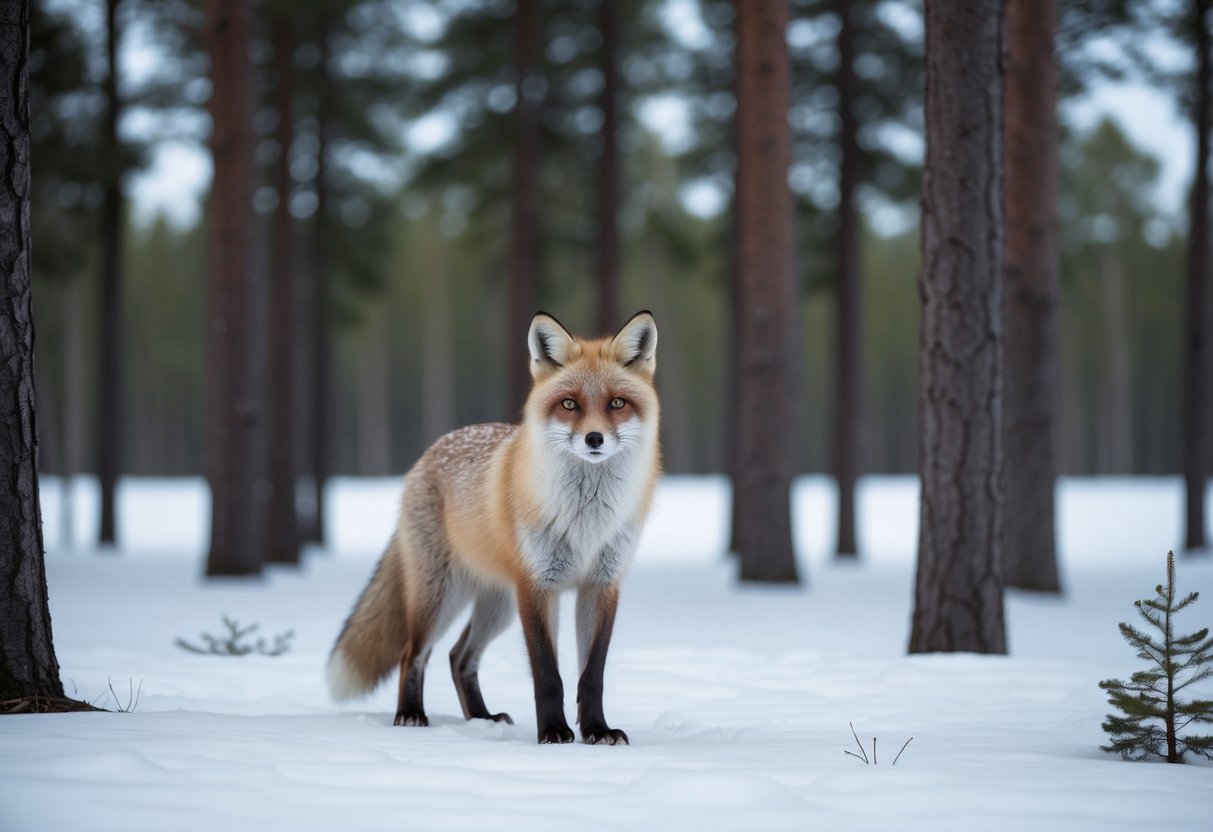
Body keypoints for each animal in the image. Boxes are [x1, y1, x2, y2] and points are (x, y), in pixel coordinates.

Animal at [327, 310, 661, 745]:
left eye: (617, 403)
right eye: (569, 404)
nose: (594, 439)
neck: (586, 520)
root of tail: (431, 451)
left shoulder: (601, 586)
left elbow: (592, 676)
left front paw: (596, 731)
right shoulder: (536, 587)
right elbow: (548, 675)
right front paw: (554, 732)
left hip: (496, 606)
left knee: (459, 656)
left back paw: (482, 718)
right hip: (442, 597)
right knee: (413, 653)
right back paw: (410, 714)